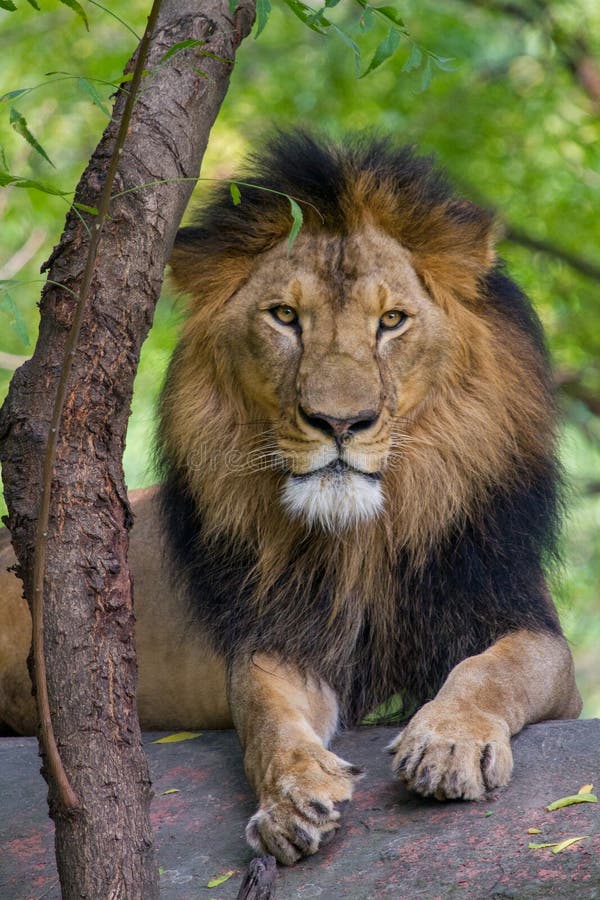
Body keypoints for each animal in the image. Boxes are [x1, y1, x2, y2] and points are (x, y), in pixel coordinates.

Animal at [0, 132, 581, 866]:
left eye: (392, 321)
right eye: (284, 317)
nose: (339, 423)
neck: (366, 539)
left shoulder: (524, 621)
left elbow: (490, 670)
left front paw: (448, 741)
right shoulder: (279, 638)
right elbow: (265, 718)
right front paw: (291, 798)